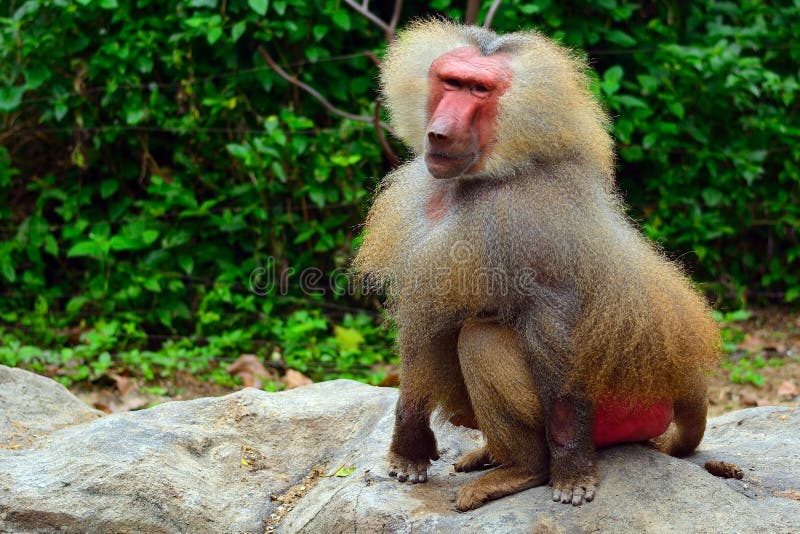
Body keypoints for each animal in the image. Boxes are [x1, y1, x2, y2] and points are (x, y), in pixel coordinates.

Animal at [353, 20, 720, 511]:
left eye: (479, 90)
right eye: (450, 82)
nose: (439, 134)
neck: (482, 178)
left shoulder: (530, 219)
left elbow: (554, 319)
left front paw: (572, 475)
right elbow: (424, 322)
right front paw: (408, 446)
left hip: (621, 406)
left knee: (481, 339)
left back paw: (522, 470)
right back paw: (490, 455)